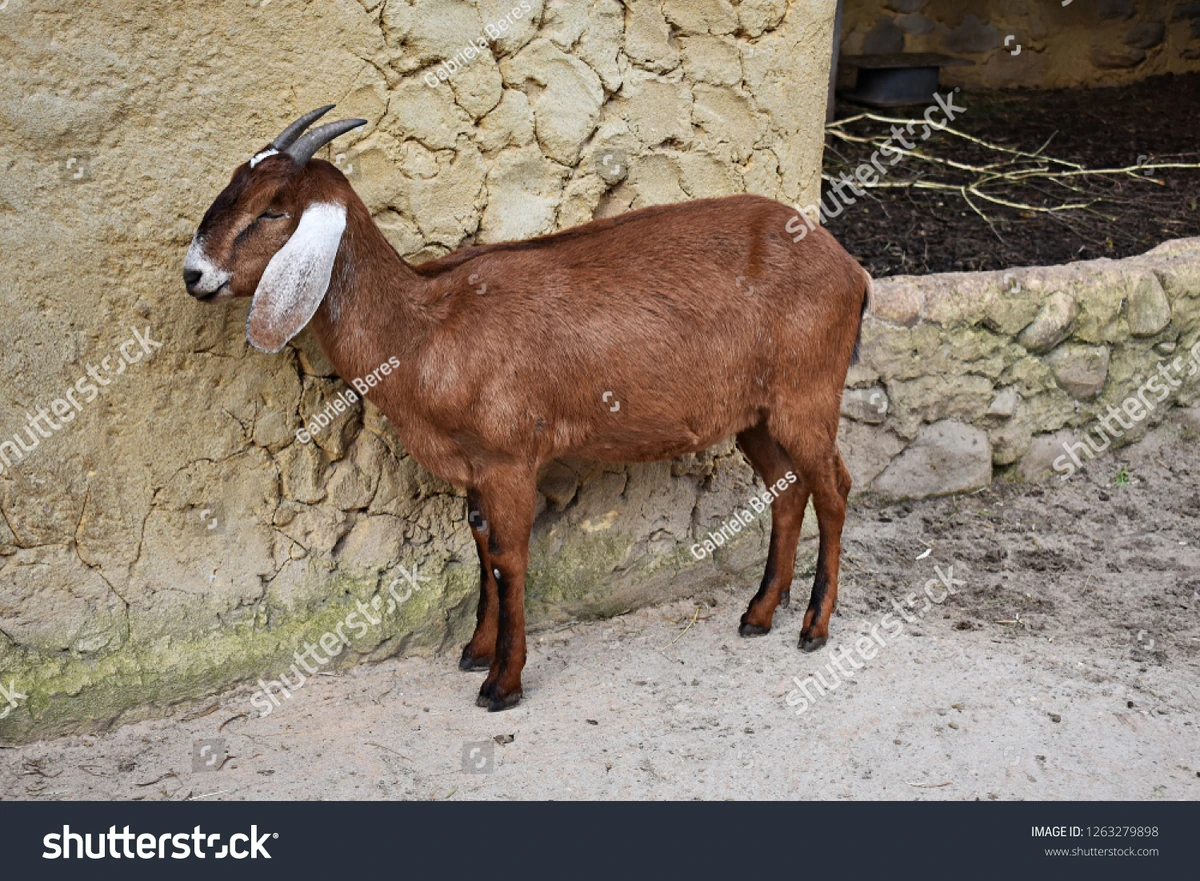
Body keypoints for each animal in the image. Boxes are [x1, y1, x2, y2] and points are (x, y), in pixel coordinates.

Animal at [184, 107, 871, 711]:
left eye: (274, 208)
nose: (194, 275)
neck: (423, 325)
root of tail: (853, 270)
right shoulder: (474, 468)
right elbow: (482, 547)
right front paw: (474, 651)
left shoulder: (511, 459)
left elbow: (511, 559)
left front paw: (501, 683)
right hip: (756, 414)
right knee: (788, 489)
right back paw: (758, 614)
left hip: (807, 394)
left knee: (834, 487)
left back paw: (813, 627)